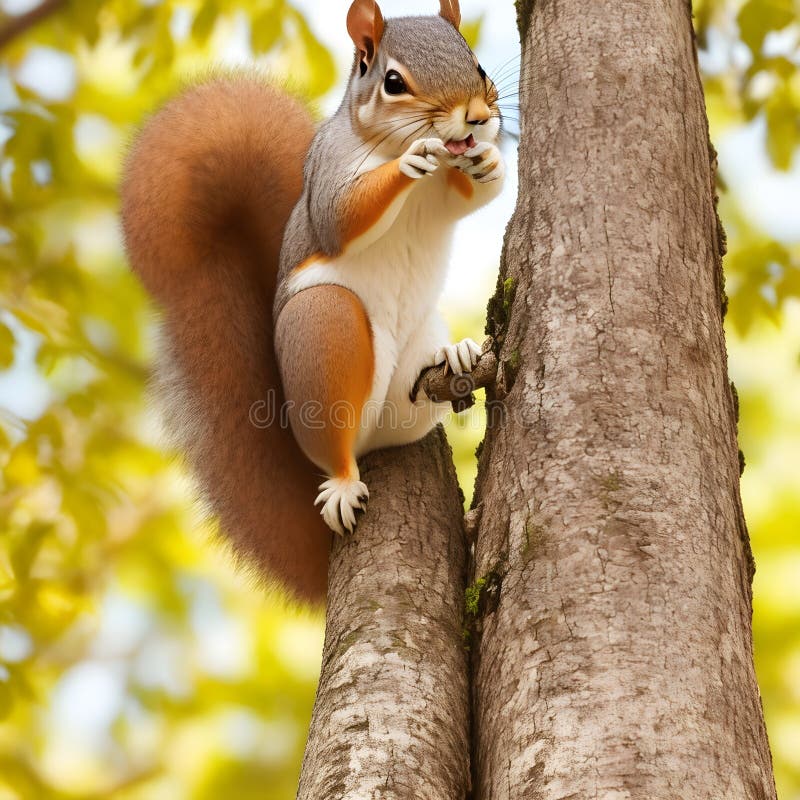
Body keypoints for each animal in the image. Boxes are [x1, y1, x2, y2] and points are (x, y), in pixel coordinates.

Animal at [121, 0, 505, 602]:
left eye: (479, 66)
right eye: (393, 82)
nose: (477, 117)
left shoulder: (446, 195)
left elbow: (473, 197)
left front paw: (488, 161)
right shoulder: (330, 173)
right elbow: (340, 218)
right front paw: (411, 161)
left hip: (412, 367)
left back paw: (454, 356)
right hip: (322, 329)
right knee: (337, 439)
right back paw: (344, 481)